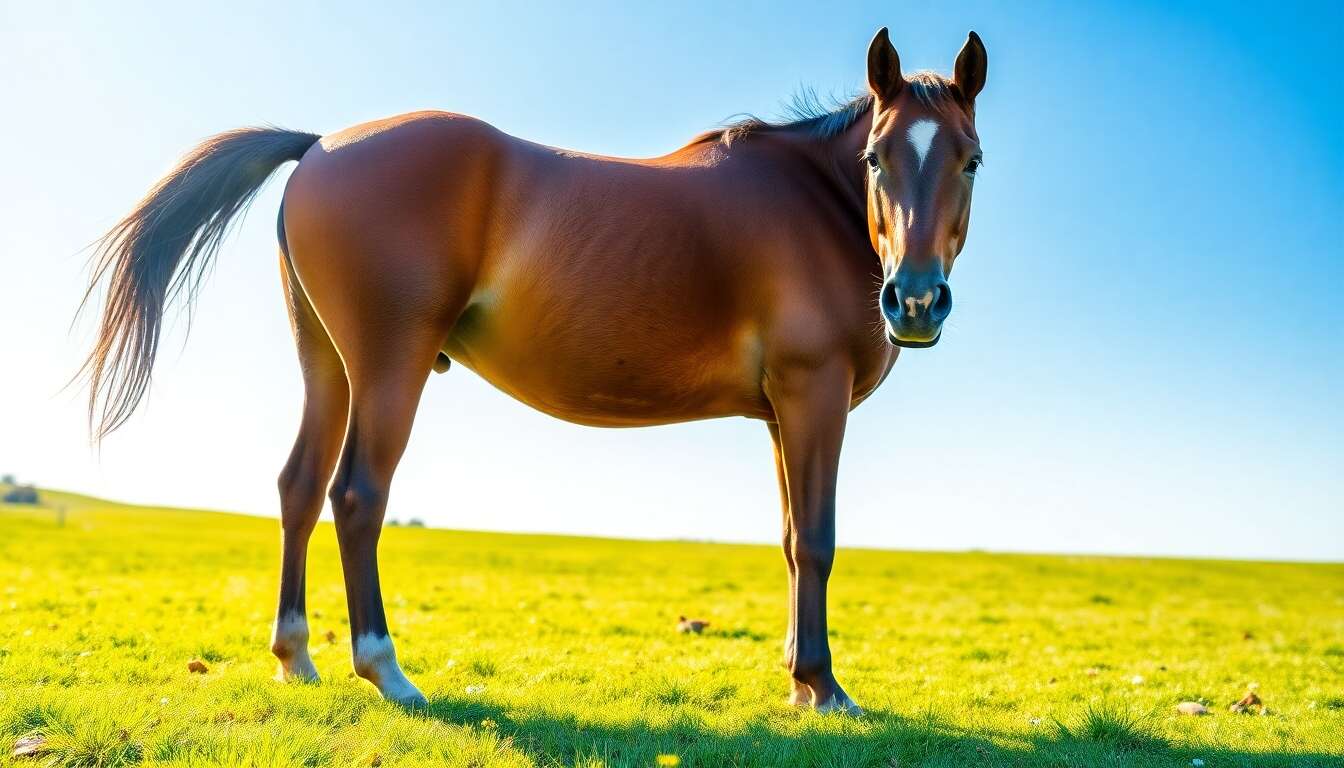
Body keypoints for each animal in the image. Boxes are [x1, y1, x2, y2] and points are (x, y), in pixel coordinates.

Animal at [80, 28, 987, 714]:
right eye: (875, 158)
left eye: (969, 160)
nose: (915, 301)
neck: (814, 206)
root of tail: (321, 145)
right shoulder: (812, 394)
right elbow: (821, 541)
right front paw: (825, 688)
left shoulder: (781, 412)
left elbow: (795, 541)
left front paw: (801, 682)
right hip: (389, 366)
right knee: (357, 495)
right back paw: (387, 671)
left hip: (326, 366)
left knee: (299, 488)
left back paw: (295, 657)